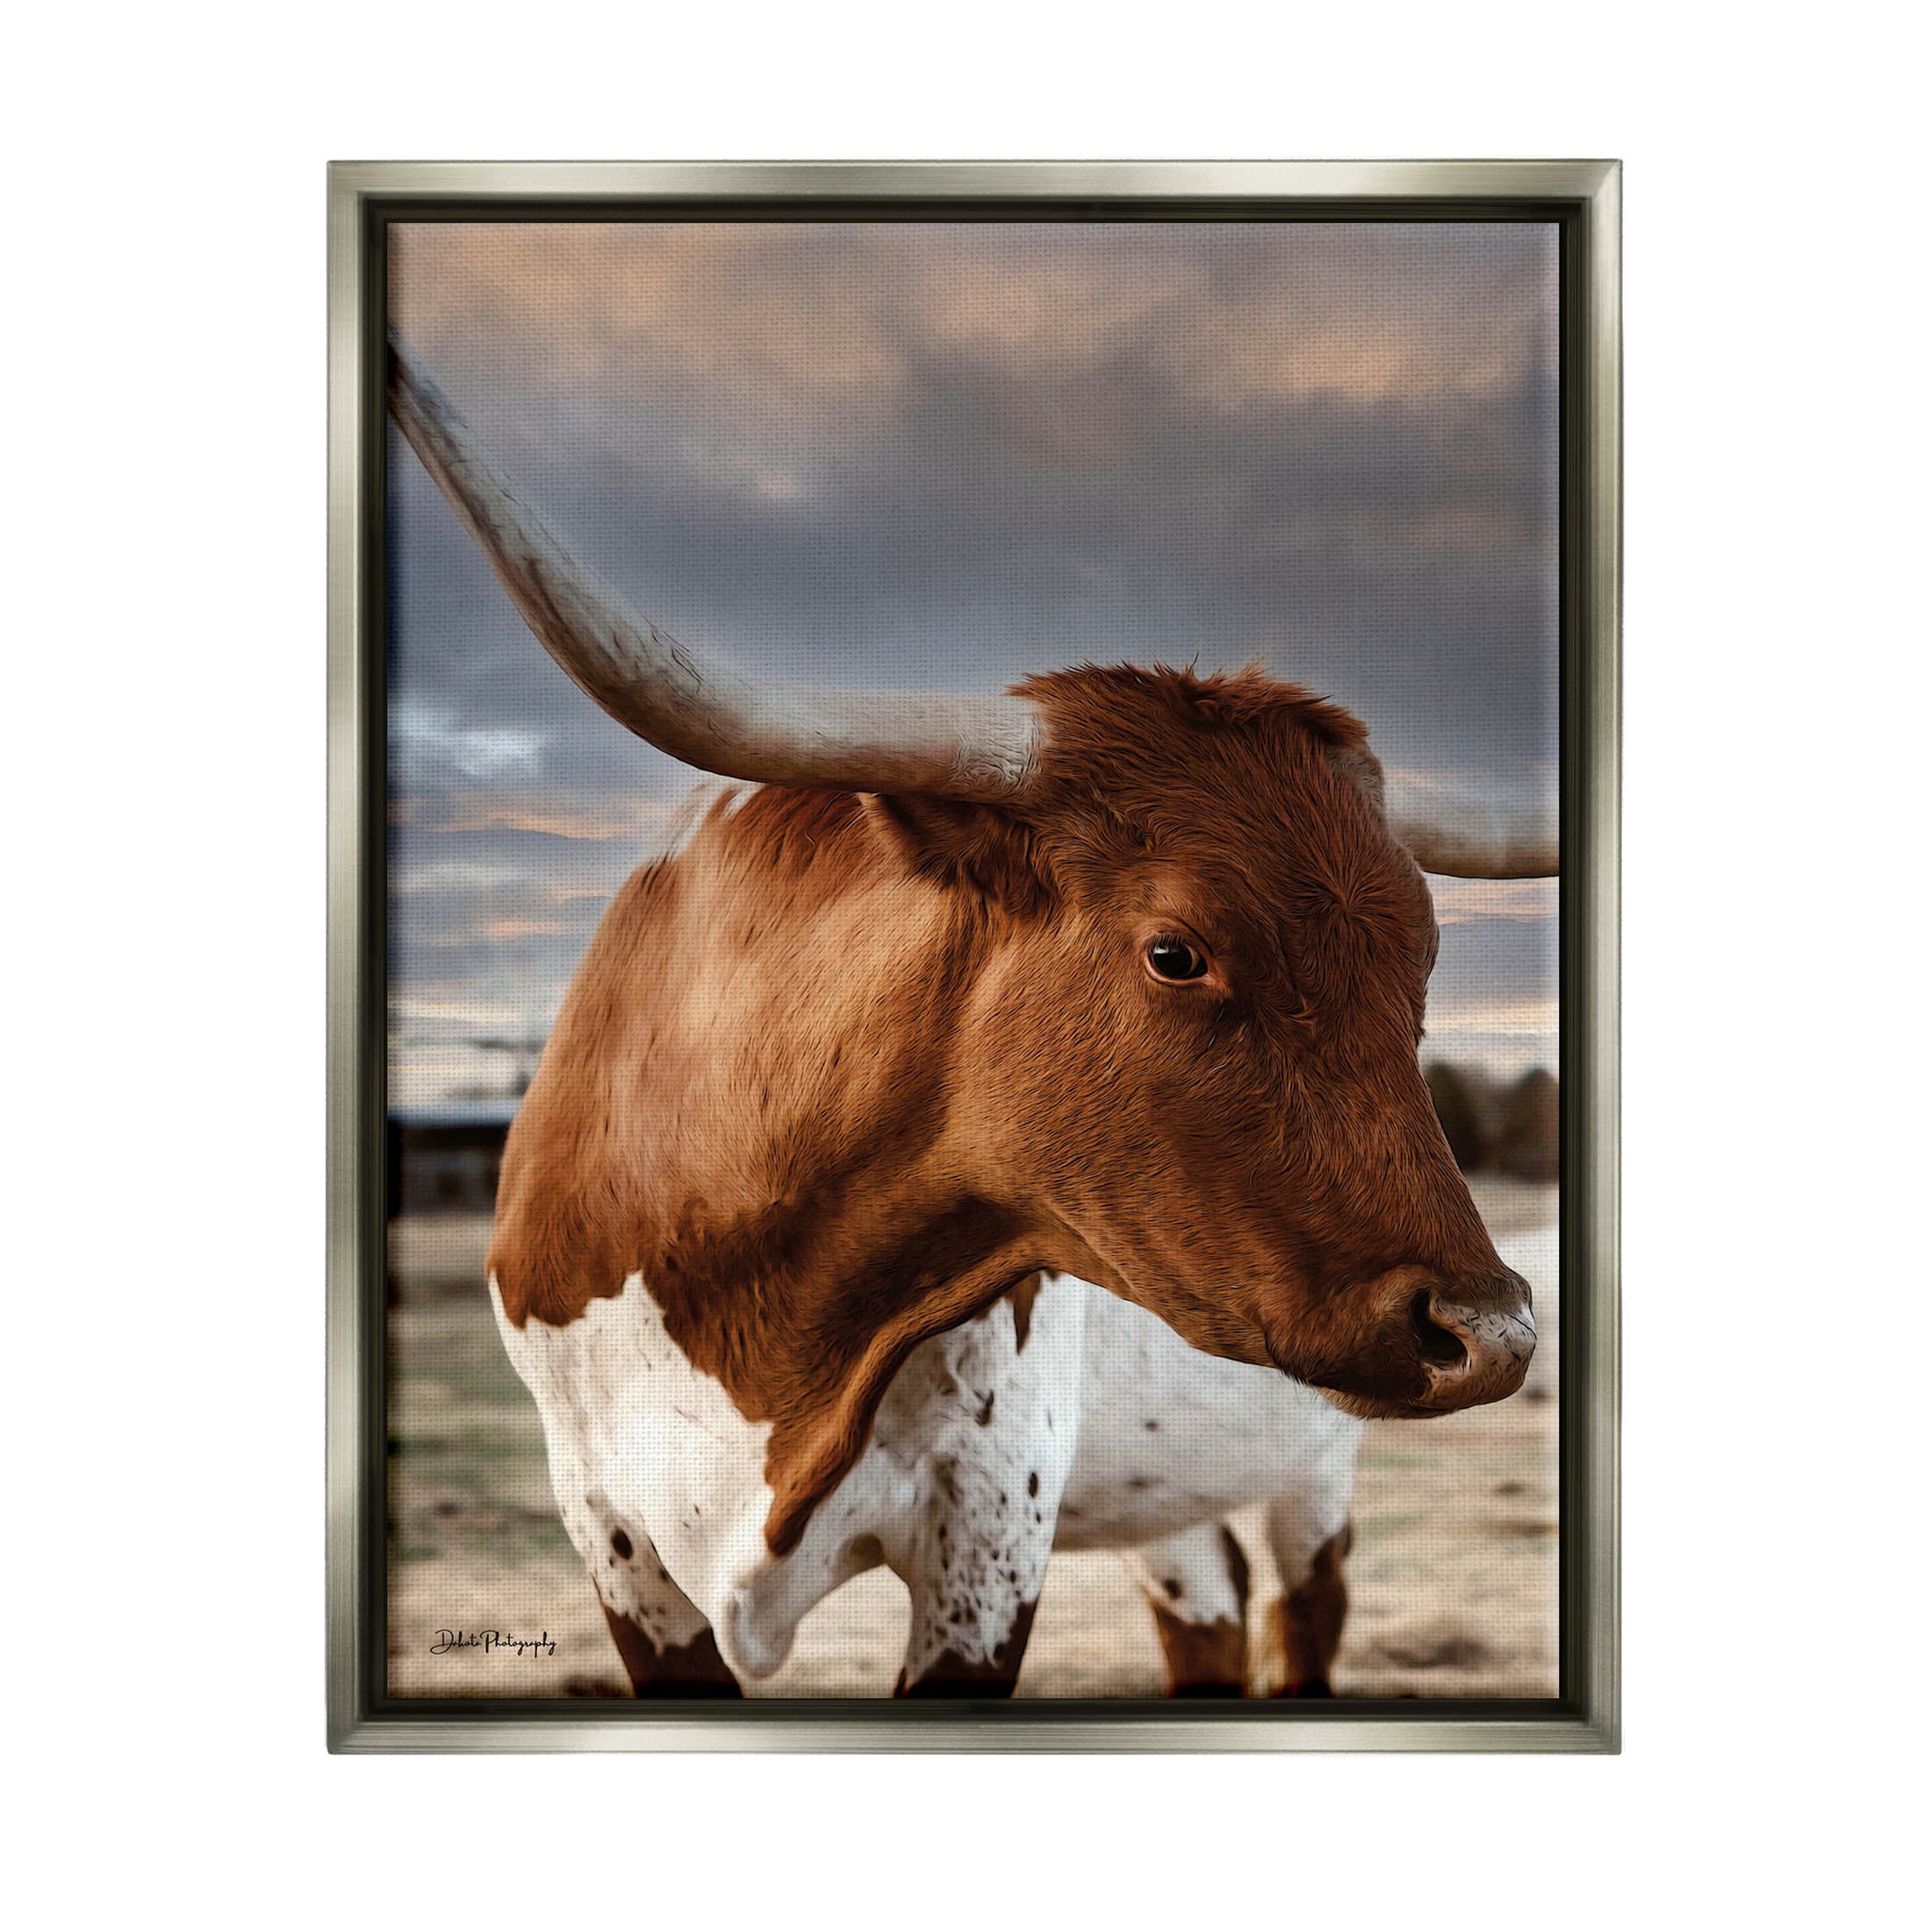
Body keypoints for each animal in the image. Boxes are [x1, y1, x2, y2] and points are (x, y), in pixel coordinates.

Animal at [389, 336, 1555, 1697]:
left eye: (1421, 967)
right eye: (1175, 951)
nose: (1490, 1330)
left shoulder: (990, 1521)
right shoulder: (608, 1529)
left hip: (1308, 1472)